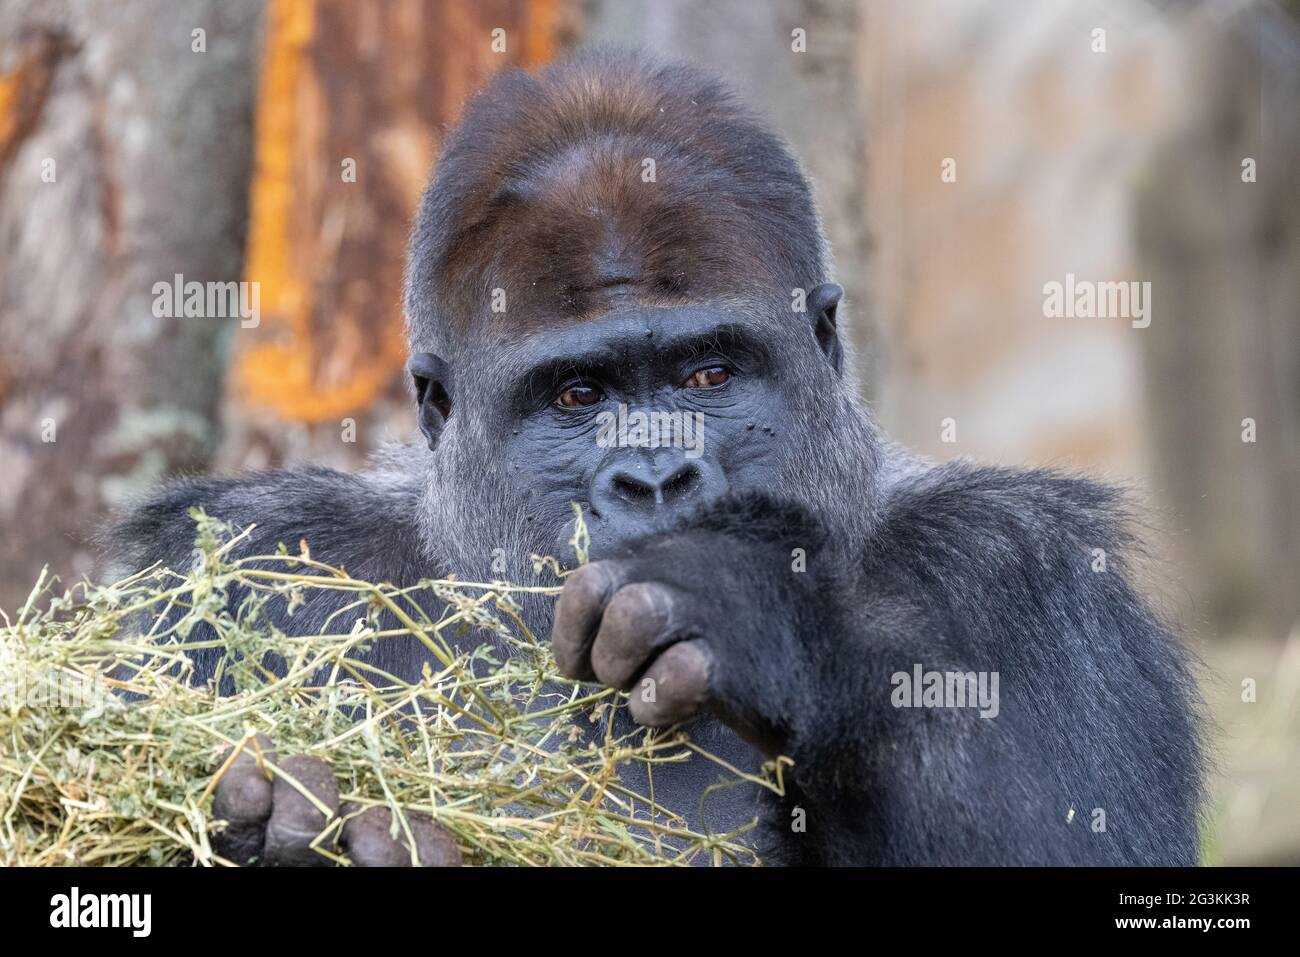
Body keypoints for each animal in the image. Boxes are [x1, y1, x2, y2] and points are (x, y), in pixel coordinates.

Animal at [109, 49, 1203, 866]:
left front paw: (740, 598)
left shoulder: (1020, 568)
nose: (655, 480)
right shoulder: (243, 552)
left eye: (707, 375)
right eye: (579, 395)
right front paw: (275, 827)